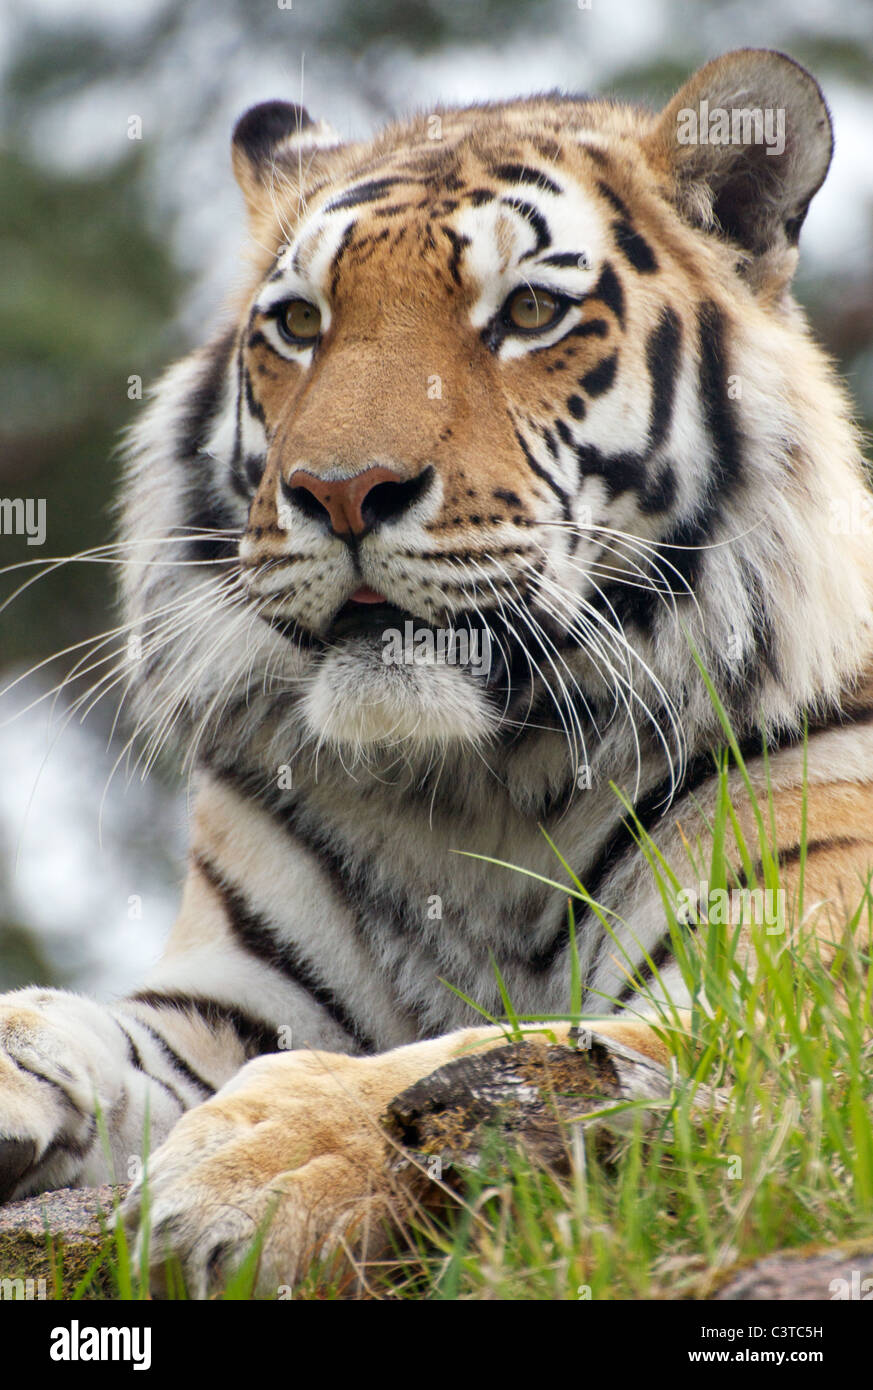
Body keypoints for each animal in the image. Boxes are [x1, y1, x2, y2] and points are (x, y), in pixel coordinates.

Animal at [1, 46, 872, 1298]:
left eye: (529, 312)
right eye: (300, 323)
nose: (341, 489)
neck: (474, 779)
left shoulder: (779, 984)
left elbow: (483, 1062)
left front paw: (260, 1163)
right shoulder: (229, 999)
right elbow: (69, 1026)